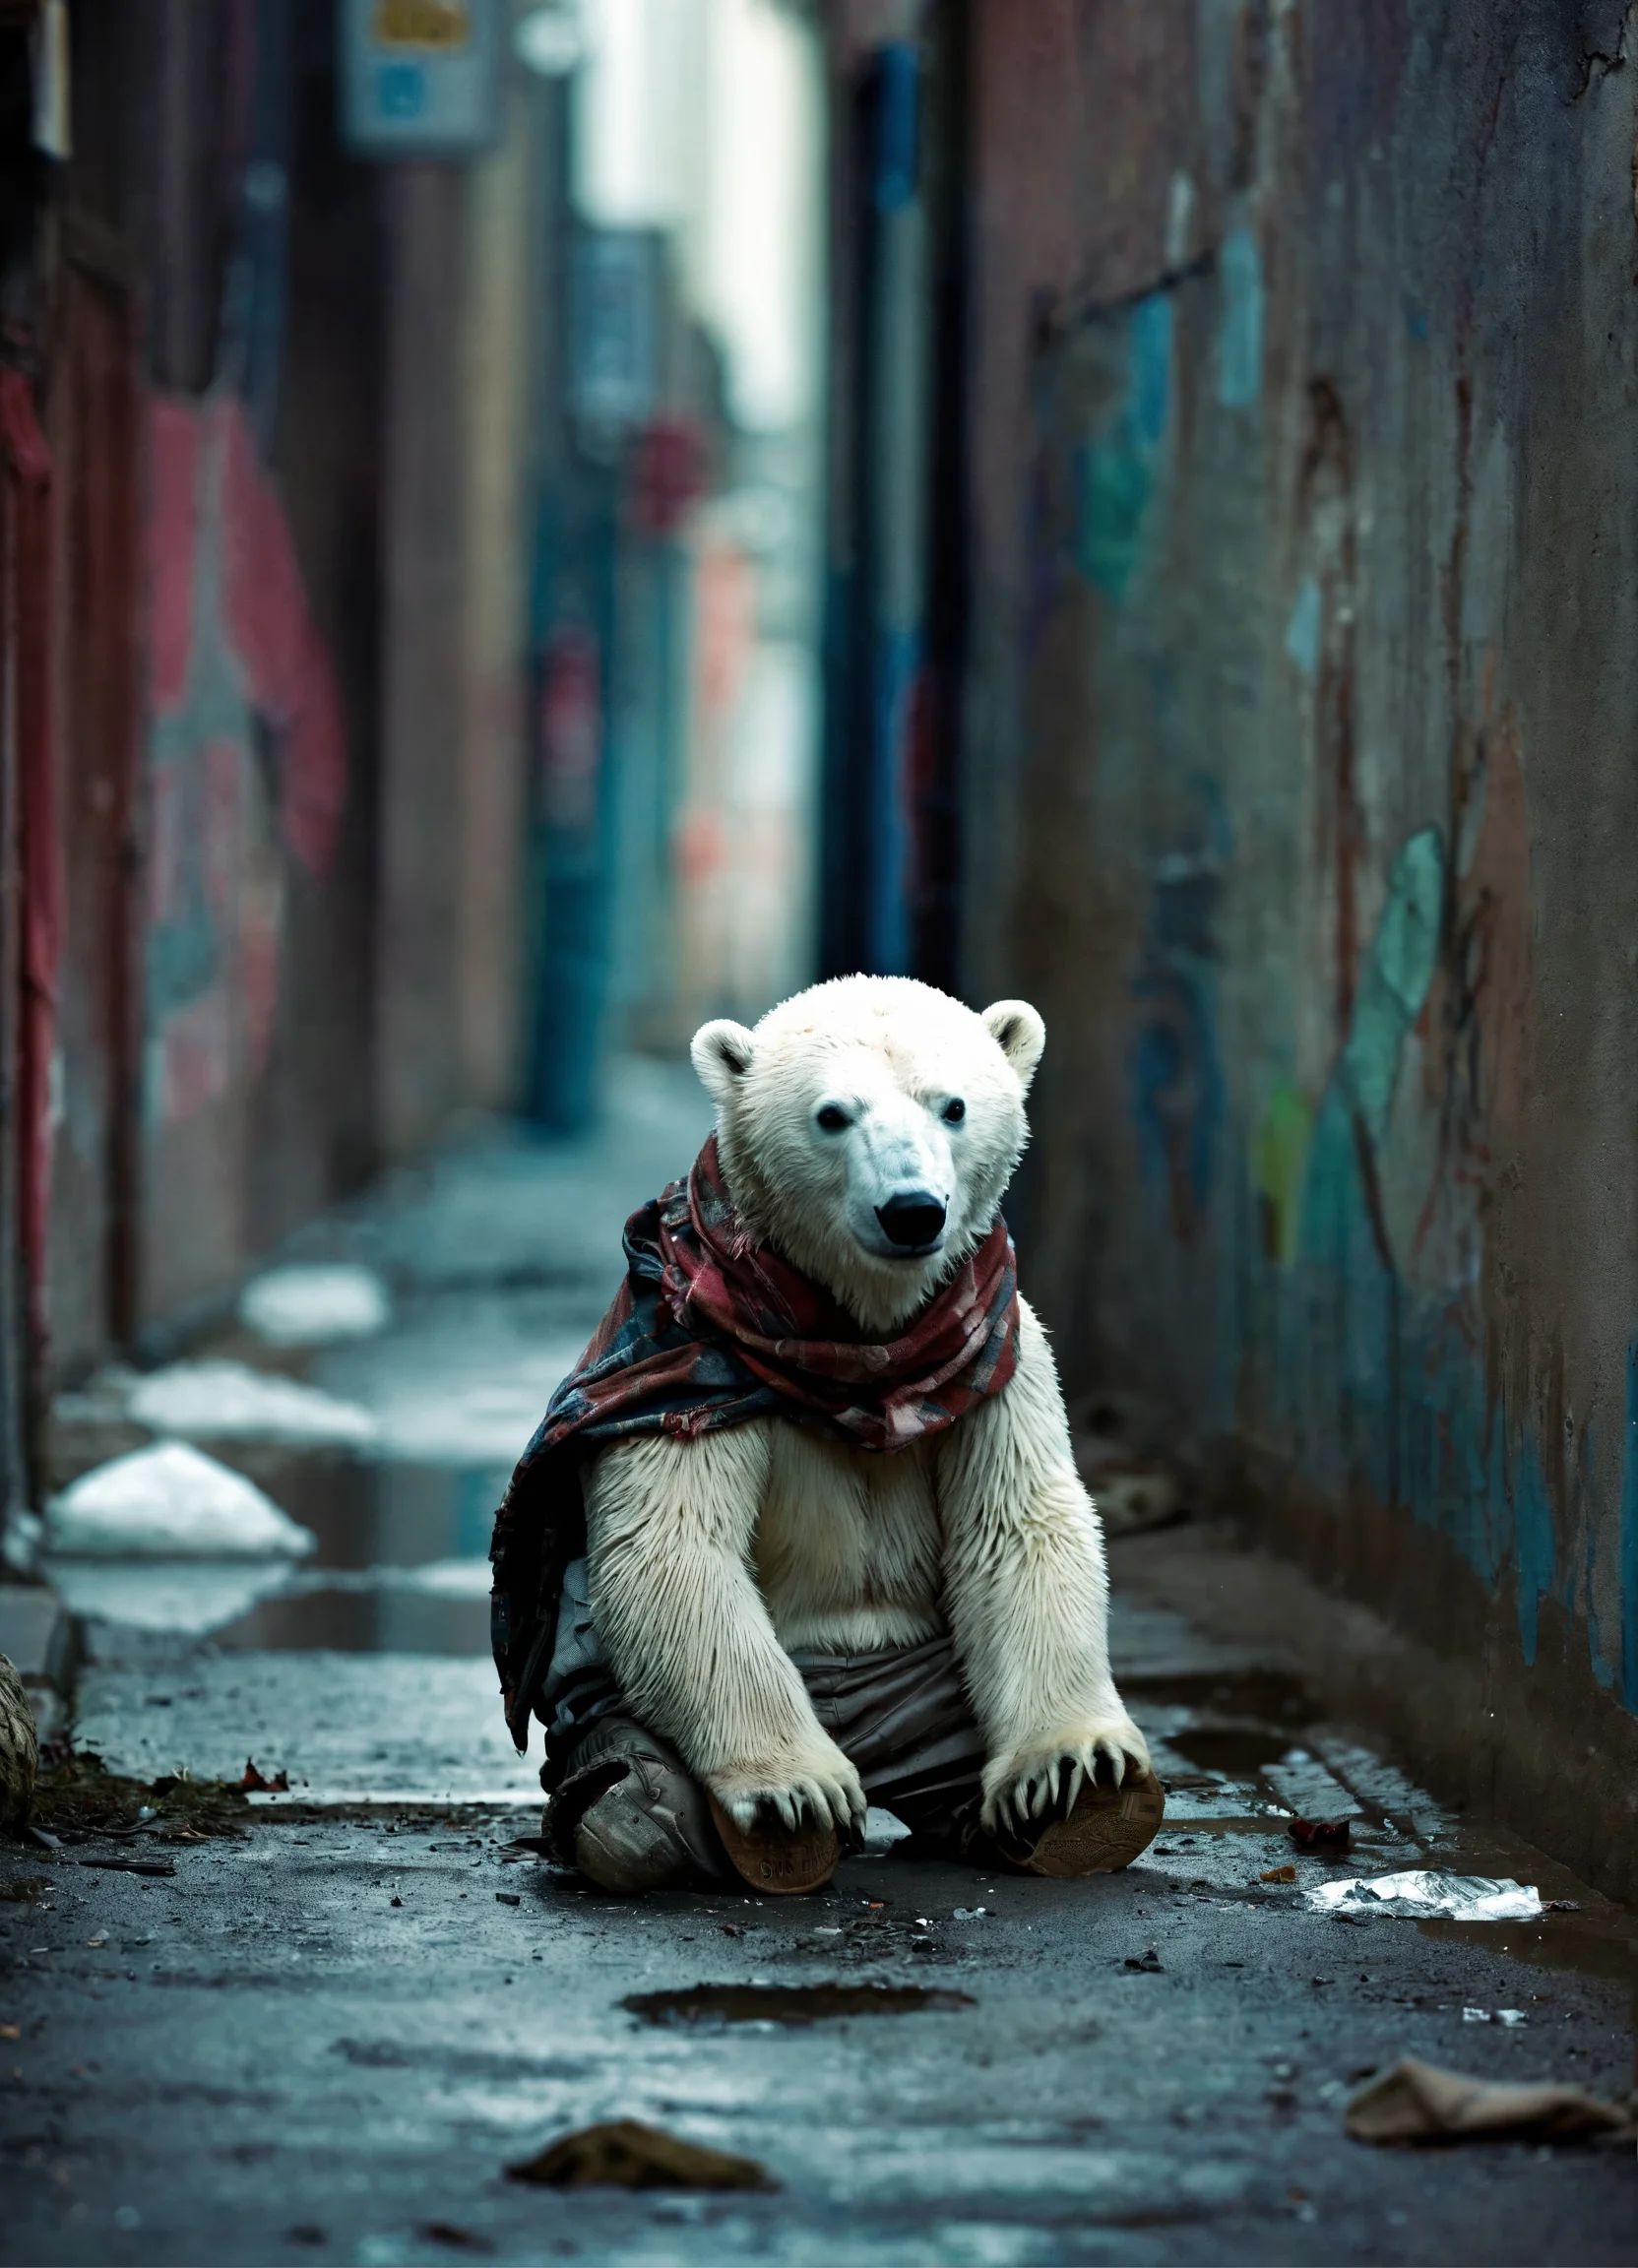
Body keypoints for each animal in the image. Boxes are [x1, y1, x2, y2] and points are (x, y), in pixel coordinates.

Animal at [490, 975, 1157, 1894]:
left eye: (953, 1106)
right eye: (833, 1114)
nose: (913, 1212)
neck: (860, 1349)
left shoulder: (997, 1354)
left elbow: (1017, 1525)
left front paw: (1074, 1766)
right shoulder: (686, 1364)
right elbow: (674, 1547)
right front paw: (795, 1794)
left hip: (925, 1681)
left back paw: (1089, 1819)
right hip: (607, 1695)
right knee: (631, 1796)